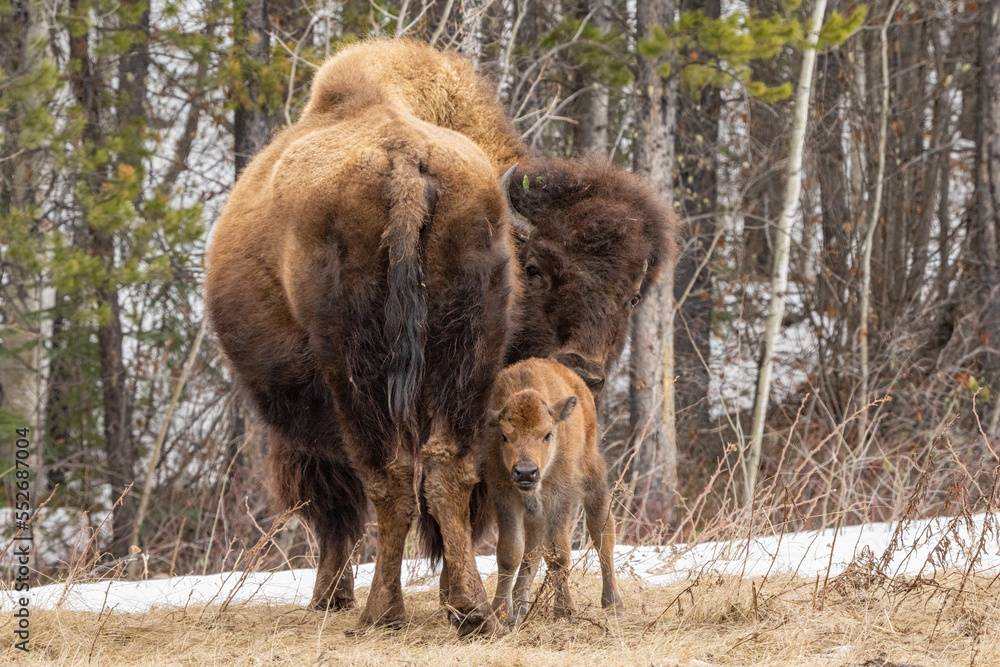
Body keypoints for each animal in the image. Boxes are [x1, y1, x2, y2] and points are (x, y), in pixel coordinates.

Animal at [487, 357, 622, 625]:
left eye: (547, 434)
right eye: (504, 436)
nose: (526, 472)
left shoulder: (559, 496)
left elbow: (557, 553)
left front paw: (565, 611)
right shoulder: (504, 495)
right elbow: (510, 553)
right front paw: (501, 613)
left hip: (592, 476)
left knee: (602, 532)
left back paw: (613, 602)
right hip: (534, 510)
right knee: (533, 547)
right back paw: (520, 607)